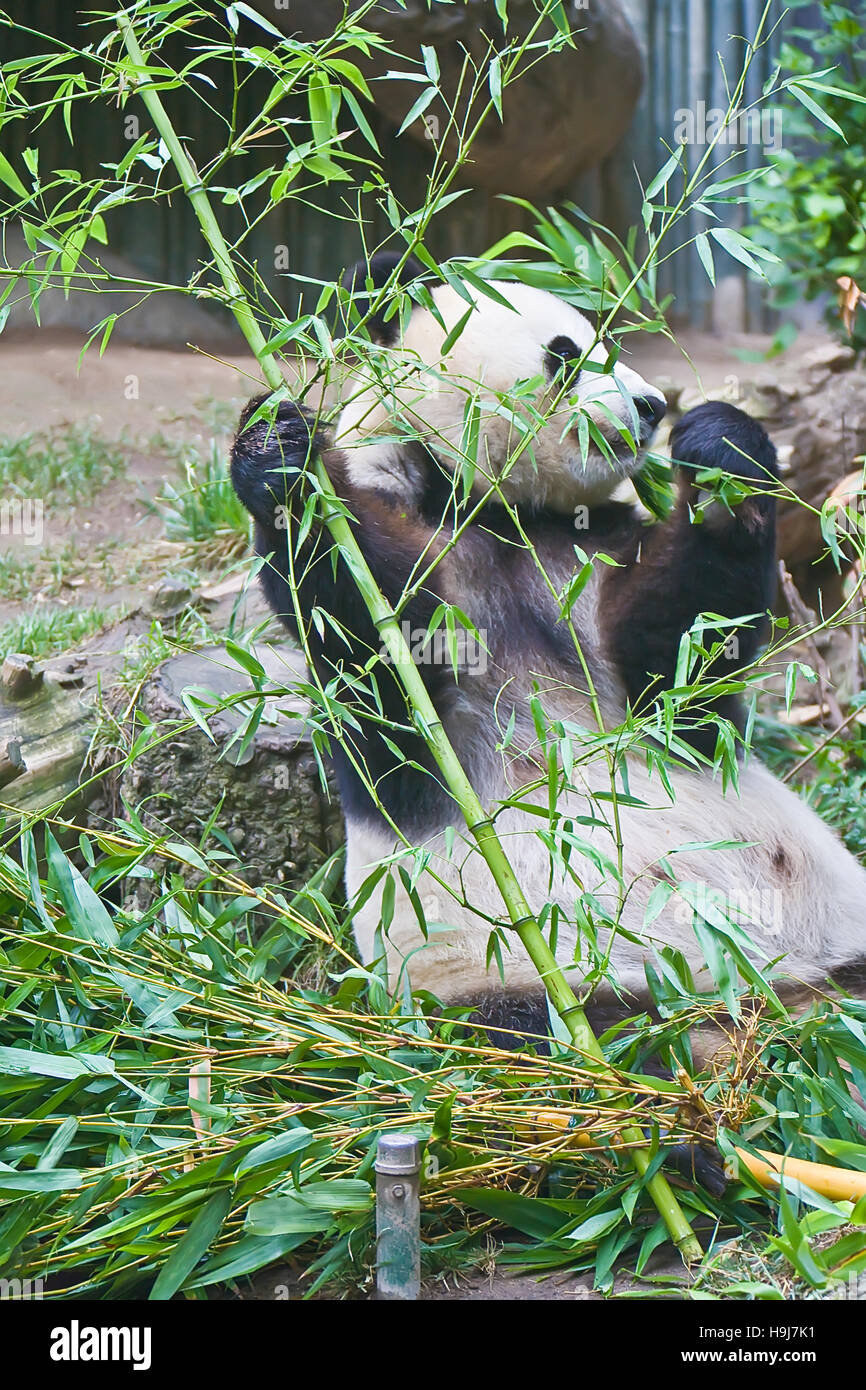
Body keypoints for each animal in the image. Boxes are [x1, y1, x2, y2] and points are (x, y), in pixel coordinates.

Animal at [230, 251, 866, 1072]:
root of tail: (776, 1009)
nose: (652, 405)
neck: (500, 508)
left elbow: (678, 671)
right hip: (531, 992)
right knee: (564, 1047)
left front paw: (720, 448)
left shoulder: (587, 551)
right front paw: (278, 451)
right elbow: (374, 665)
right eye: (567, 352)